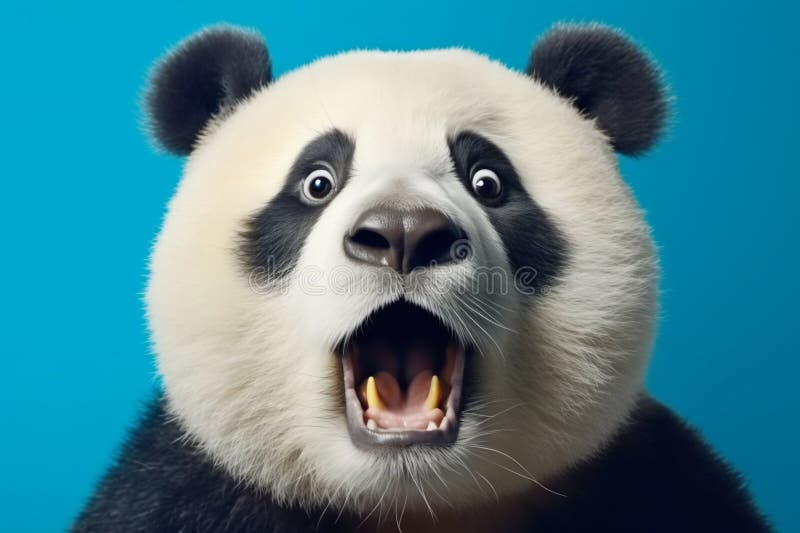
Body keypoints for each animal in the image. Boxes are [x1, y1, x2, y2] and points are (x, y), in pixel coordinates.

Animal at [74, 23, 772, 533]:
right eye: (317, 182)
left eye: (489, 181)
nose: (404, 233)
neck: (414, 502)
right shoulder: (181, 496)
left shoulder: (651, 482)